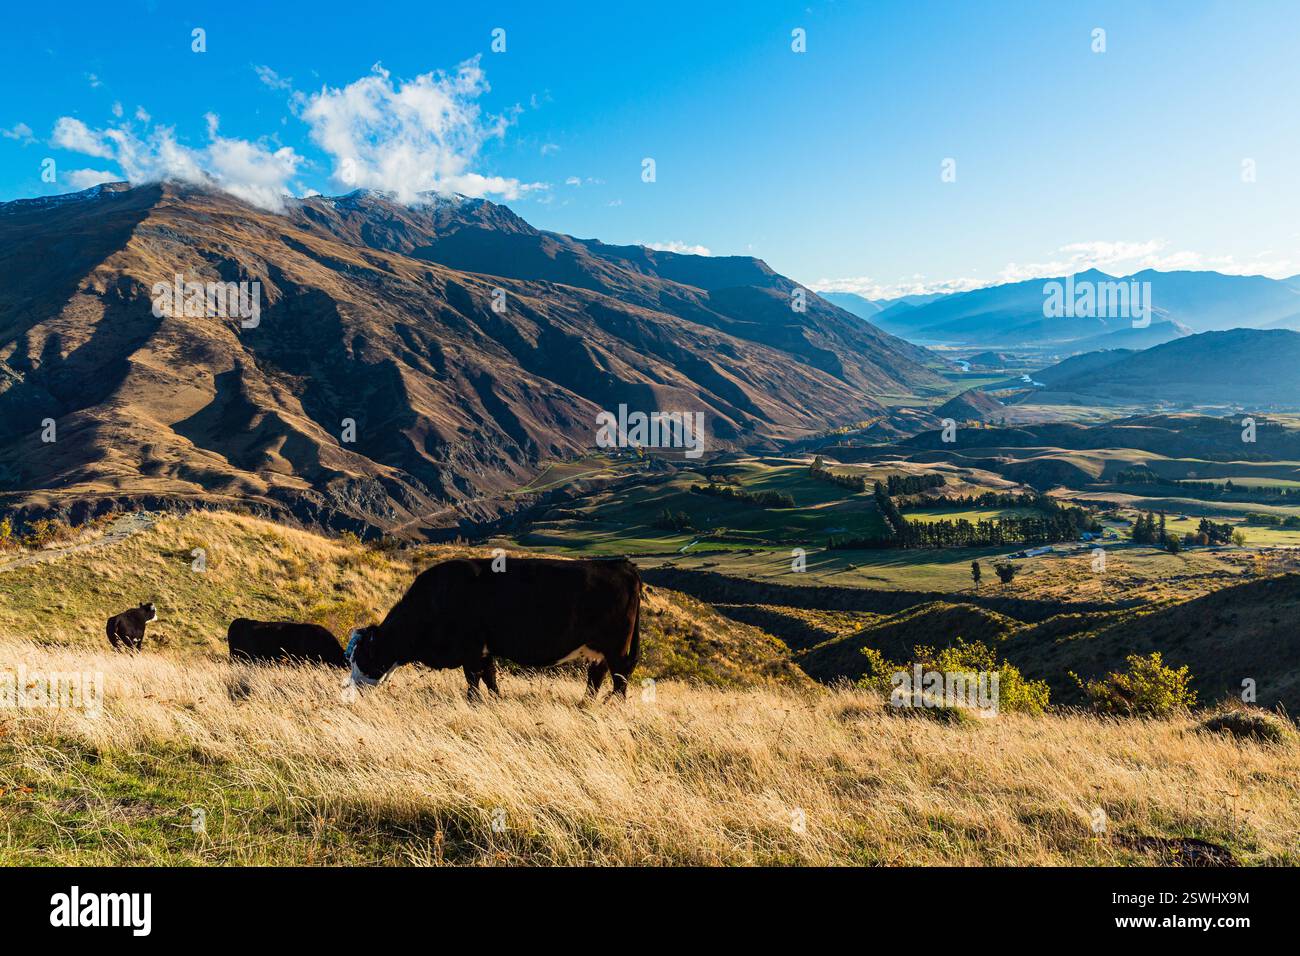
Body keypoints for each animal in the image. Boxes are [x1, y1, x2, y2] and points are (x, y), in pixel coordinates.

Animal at [344, 556, 641, 700]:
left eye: (363, 657)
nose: (352, 687)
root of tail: (621, 565)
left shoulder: (471, 649)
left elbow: (474, 681)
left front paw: (474, 702)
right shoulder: (485, 650)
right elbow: (491, 678)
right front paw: (497, 701)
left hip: (616, 647)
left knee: (619, 678)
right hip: (598, 650)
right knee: (597, 677)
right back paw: (585, 704)